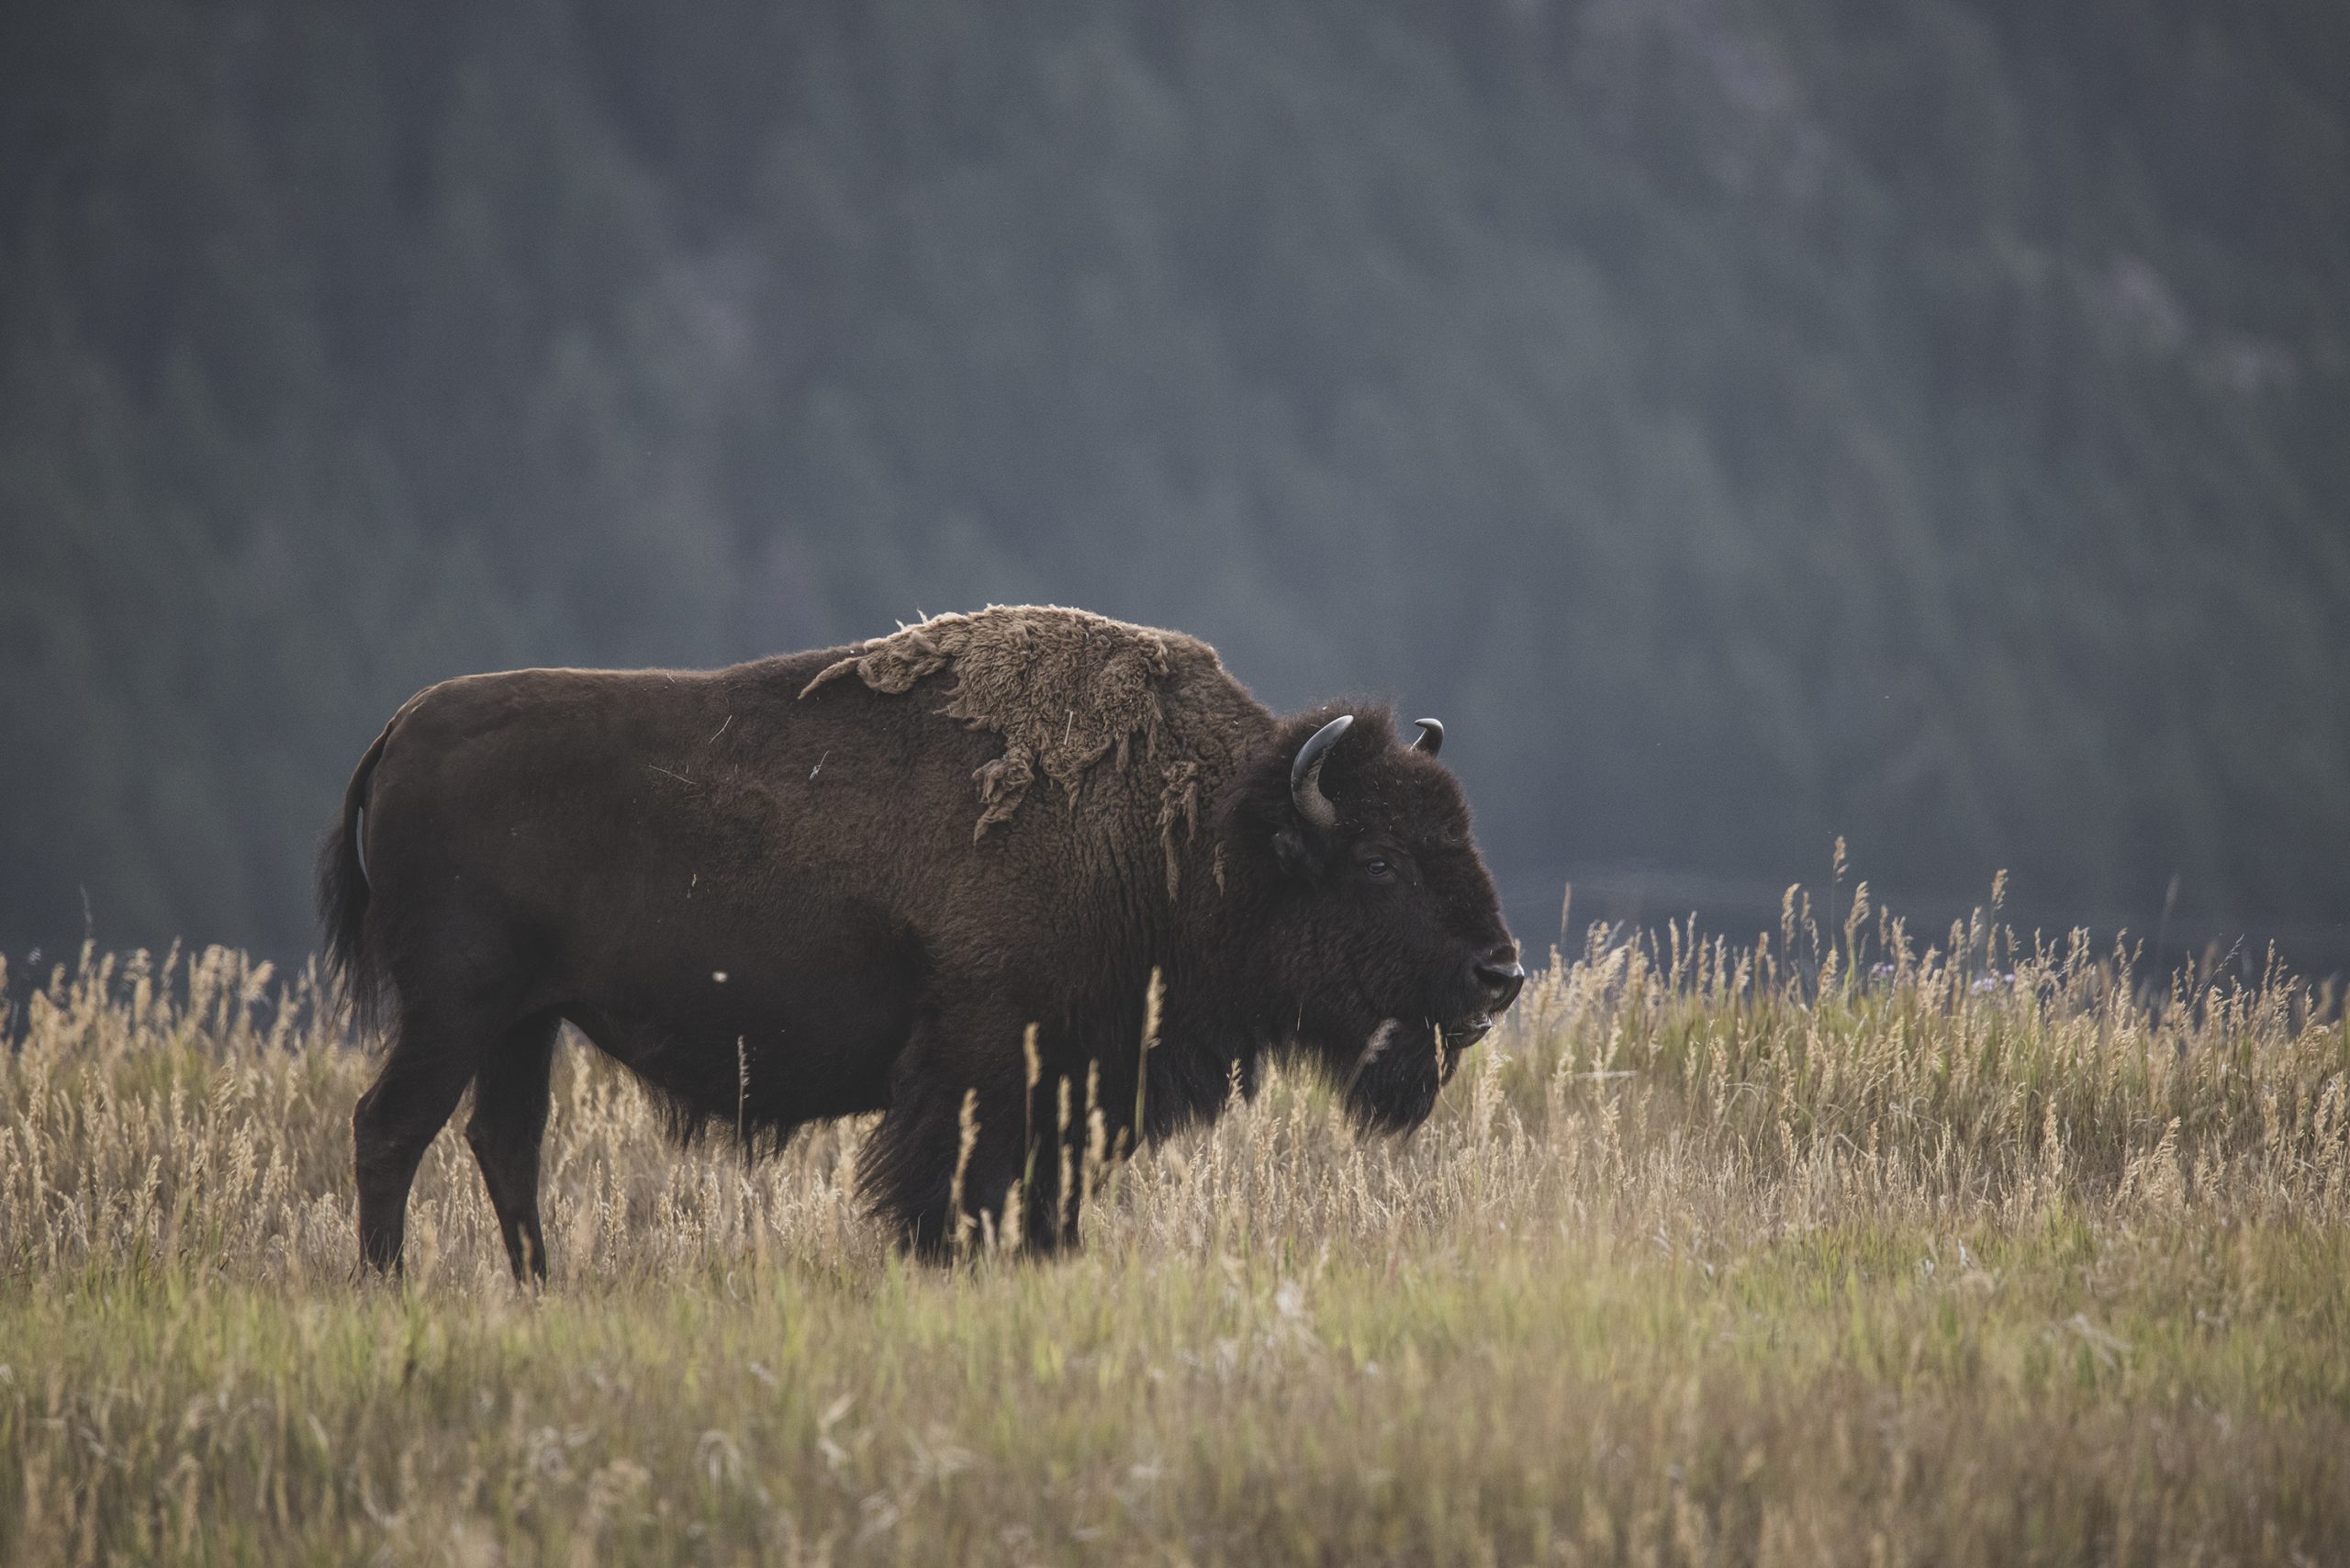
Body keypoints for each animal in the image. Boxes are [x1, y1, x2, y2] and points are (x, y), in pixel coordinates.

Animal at [320, 606, 1522, 1278]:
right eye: (1377, 861)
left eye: (1457, 831)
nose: (1499, 972)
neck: (1192, 833)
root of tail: (396, 731)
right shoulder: (983, 1065)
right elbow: (953, 1187)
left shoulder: (1071, 1089)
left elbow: (1042, 1200)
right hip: (458, 1008)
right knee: (392, 1129)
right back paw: (388, 1289)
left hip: (525, 1021)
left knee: (502, 1143)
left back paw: (540, 1285)